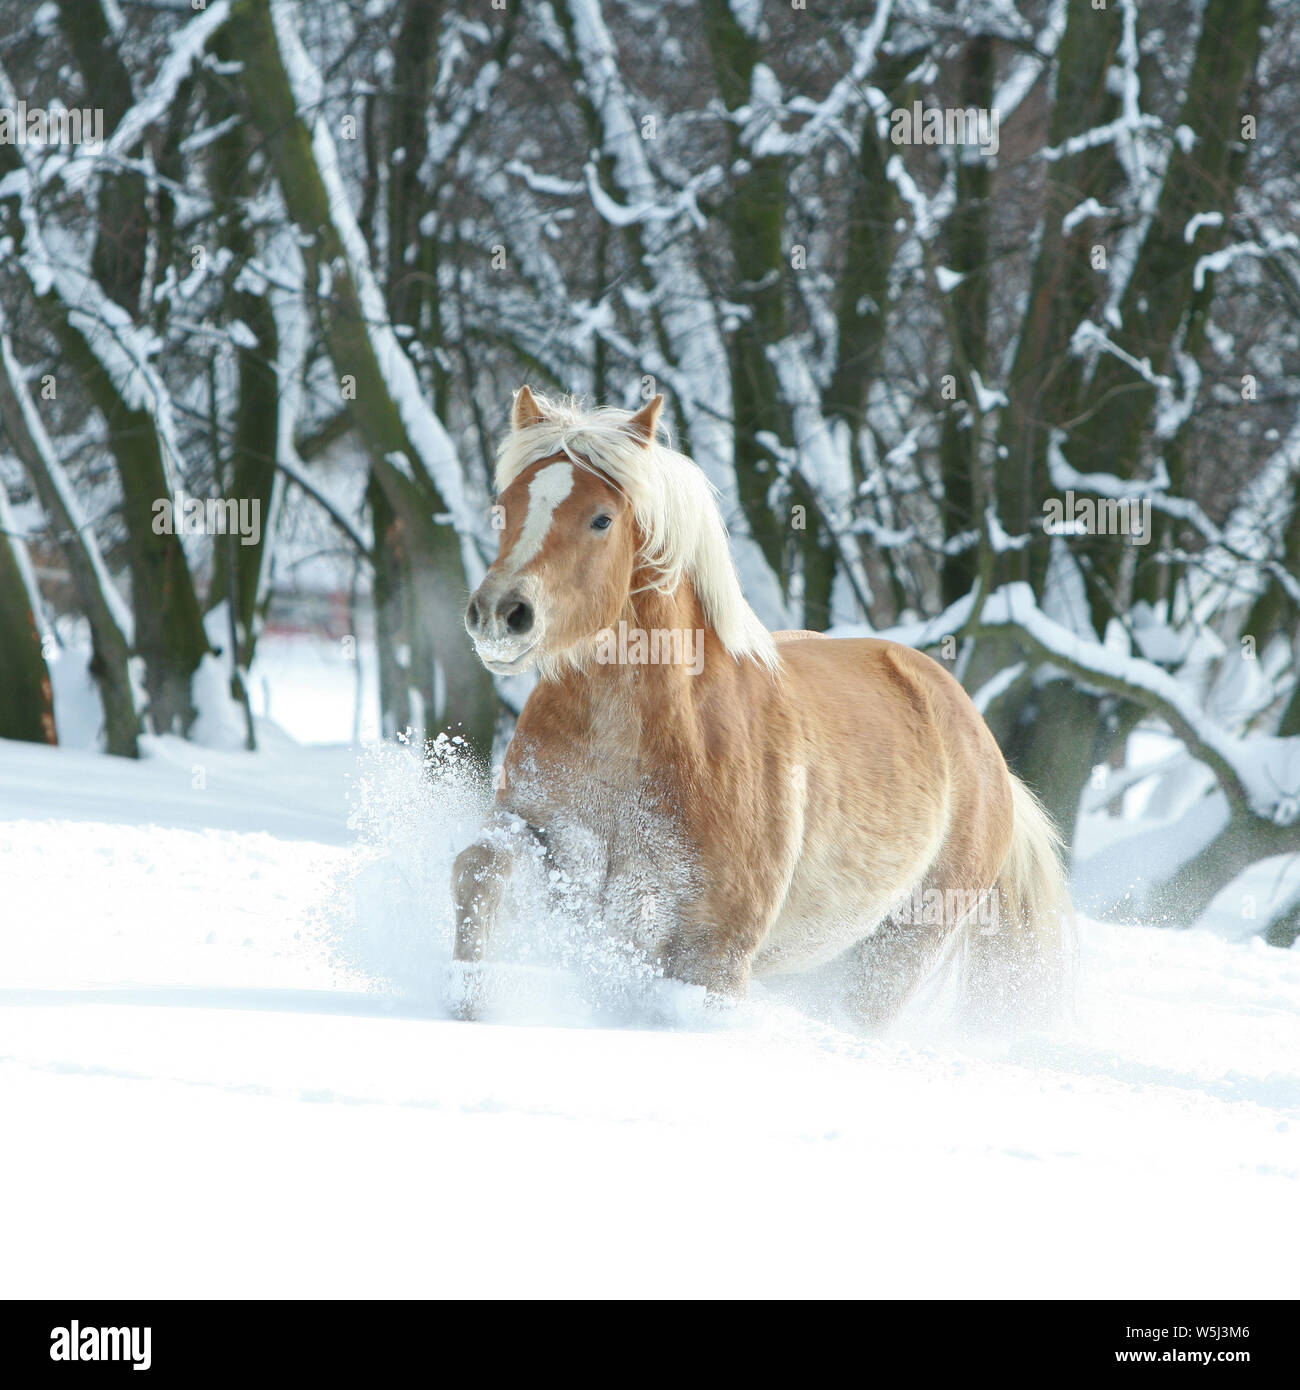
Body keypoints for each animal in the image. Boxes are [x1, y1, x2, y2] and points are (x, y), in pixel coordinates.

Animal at [452, 386, 1072, 1029]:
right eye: (504, 508)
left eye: (602, 518)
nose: (500, 613)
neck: (637, 746)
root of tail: (983, 746)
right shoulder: (545, 844)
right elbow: (477, 871)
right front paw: (467, 1003)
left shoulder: (712, 953)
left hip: (897, 952)